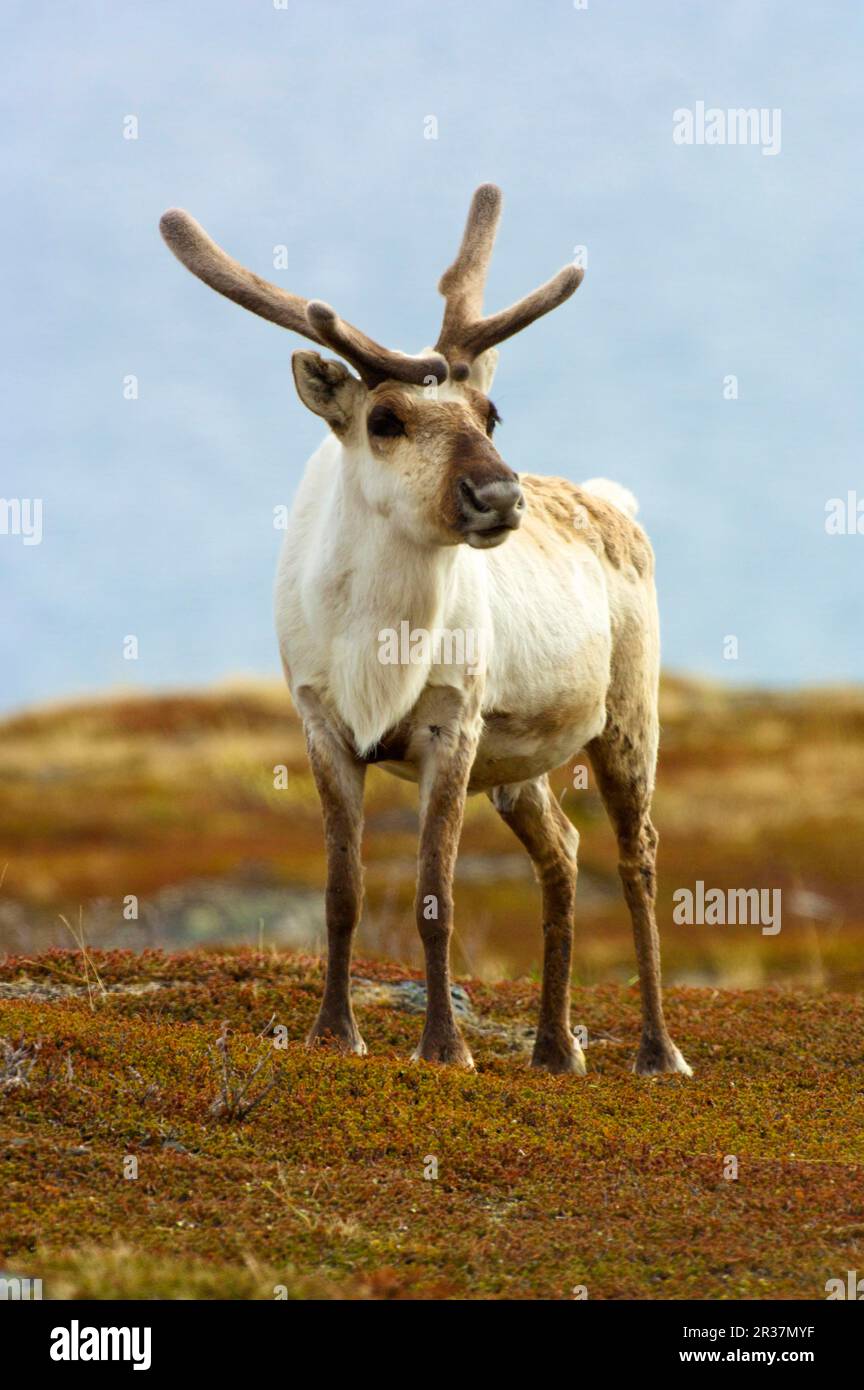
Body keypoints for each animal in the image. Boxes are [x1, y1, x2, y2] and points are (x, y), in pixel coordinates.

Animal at [160, 185, 692, 1078]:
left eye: (491, 412)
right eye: (385, 418)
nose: (500, 495)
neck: (376, 647)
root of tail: (615, 502)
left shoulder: (453, 719)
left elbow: (434, 897)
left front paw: (445, 1047)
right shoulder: (320, 720)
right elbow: (342, 892)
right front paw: (334, 1032)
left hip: (627, 711)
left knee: (639, 856)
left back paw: (658, 1051)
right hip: (518, 763)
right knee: (562, 851)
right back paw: (555, 1048)